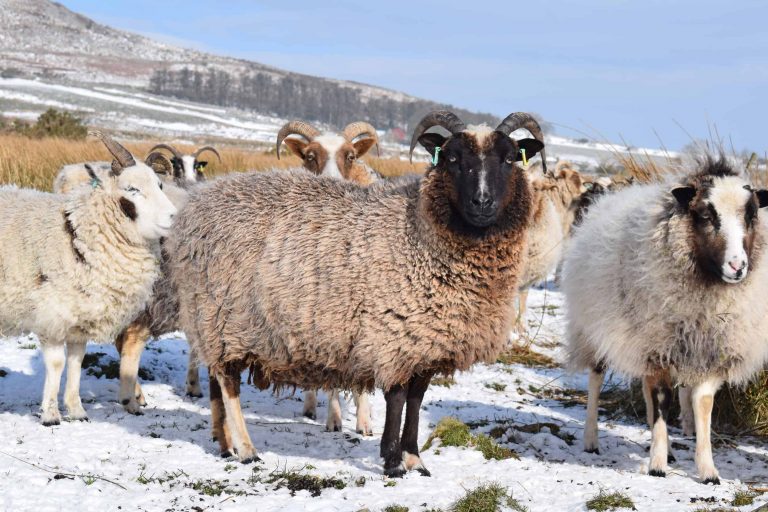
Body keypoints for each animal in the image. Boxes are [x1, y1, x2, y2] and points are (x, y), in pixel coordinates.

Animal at [0, 131, 177, 425]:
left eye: (160, 185)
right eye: (132, 189)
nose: (174, 217)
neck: (79, 230)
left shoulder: (80, 317)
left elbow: (76, 361)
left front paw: (76, 410)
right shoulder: (52, 314)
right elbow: (57, 363)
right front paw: (51, 414)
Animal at [160, 110, 544, 475]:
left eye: (510, 159)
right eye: (451, 158)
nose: (482, 202)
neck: (418, 229)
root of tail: (196, 204)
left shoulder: (426, 342)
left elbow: (416, 401)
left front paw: (415, 459)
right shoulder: (394, 334)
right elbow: (397, 398)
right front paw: (392, 462)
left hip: (215, 322)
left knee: (216, 381)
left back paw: (224, 444)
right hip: (223, 316)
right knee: (228, 385)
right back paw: (246, 450)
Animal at [563, 156, 768, 483]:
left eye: (751, 216)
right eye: (706, 214)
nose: (738, 266)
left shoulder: (708, 350)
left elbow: (701, 404)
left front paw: (707, 470)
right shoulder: (656, 345)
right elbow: (662, 400)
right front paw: (657, 465)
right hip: (594, 330)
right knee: (596, 379)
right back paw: (591, 440)